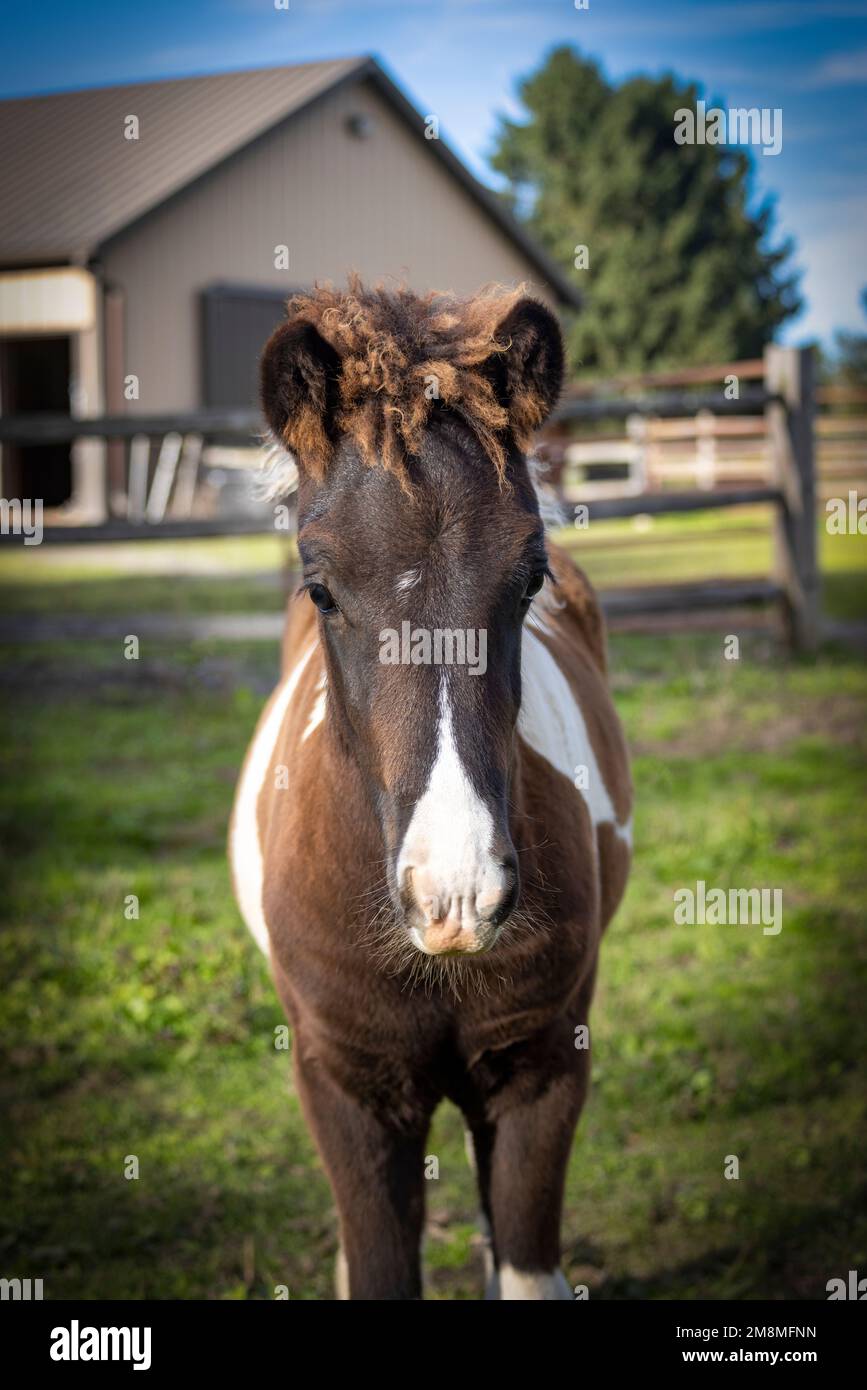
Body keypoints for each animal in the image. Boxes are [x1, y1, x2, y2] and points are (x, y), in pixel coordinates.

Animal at [229, 279, 632, 1300]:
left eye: (528, 578)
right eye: (321, 588)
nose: (456, 892)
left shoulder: (541, 1070)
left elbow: (523, 1263)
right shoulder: (344, 1084)